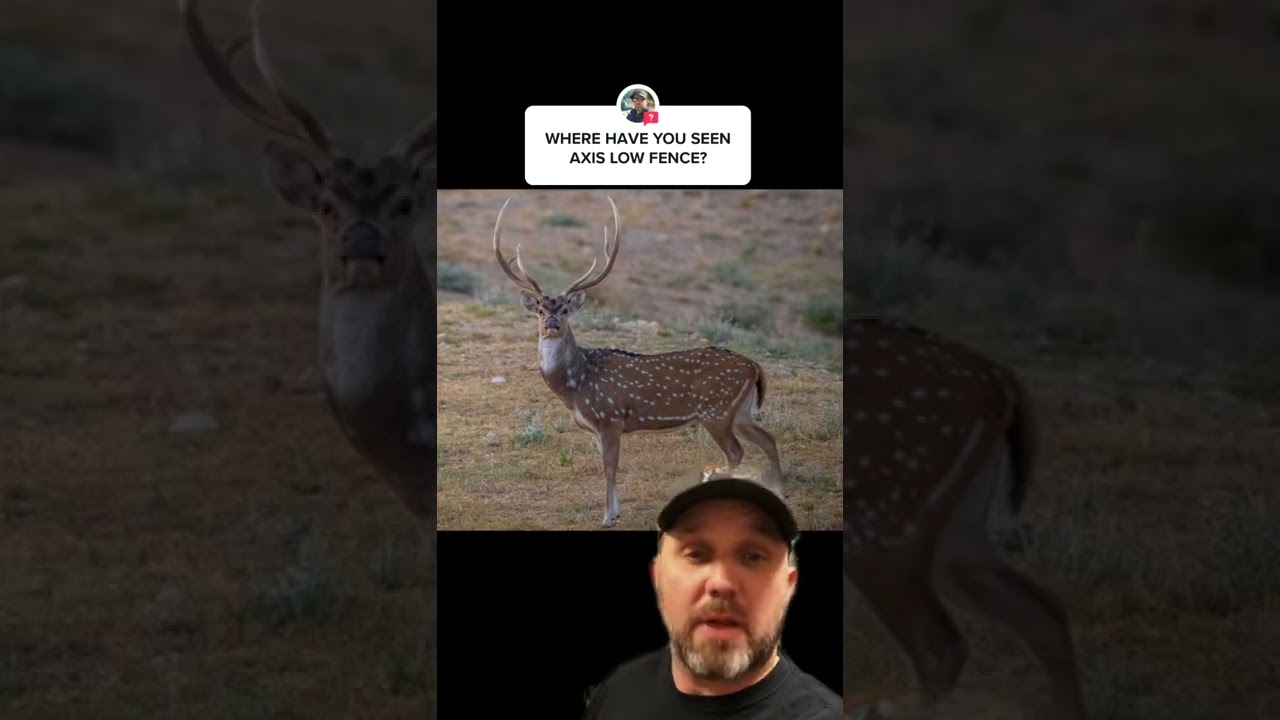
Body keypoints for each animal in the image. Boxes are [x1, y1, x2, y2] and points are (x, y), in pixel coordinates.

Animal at [491, 197, 784, 528]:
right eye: (540, 309)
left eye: (565, 309)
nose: (552, 323)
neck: (575, 386)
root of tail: (754, 367)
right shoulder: (596, 428)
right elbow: (606, 465)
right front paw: (615, 511)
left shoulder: (610, 417)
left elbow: (609, 467)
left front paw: (607, 517)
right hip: (740, 411)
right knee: (768, 439)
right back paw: (780, 491)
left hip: (716, 411)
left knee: (736, 451)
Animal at [842, 317, 1088, 720]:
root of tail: (1002, 379)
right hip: (956, 526)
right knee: (1043, 610)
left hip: (881, 518)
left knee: (943, 647)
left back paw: (882, 707)